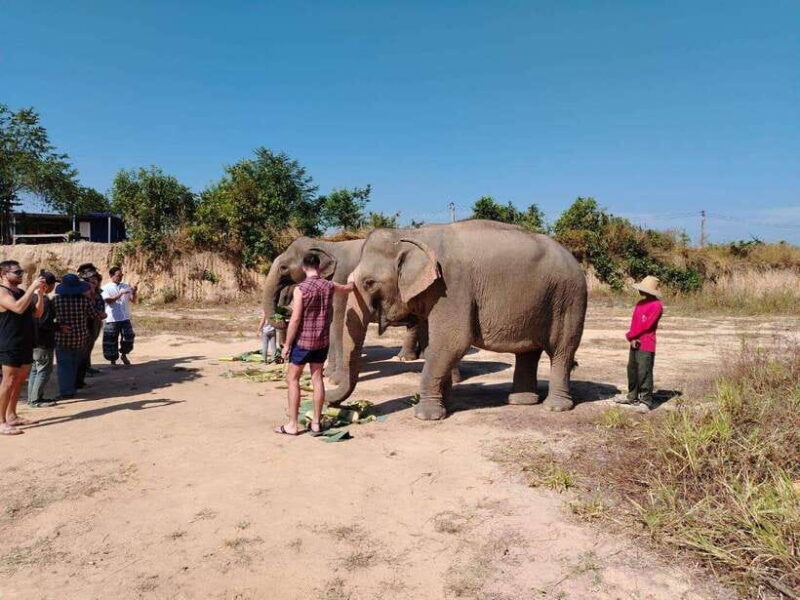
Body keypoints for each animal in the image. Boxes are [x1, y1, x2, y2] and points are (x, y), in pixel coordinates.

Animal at [262, 237, 426, 385]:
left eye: (283, 267)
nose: (282, 317)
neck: (326, 244)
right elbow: (331, 322)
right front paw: (328, 373)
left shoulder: (341, 276)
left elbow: (339, 320)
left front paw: (334, 379)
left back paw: (405, 358)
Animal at [325, 220, 587, 419]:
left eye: (369, 282)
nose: (330, 403)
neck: (414, 235)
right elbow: (438, 346)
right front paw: (447, 406)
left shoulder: (451, 286)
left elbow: (452, 342)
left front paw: (425, 415)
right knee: (528, 351)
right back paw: (521, 401)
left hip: (569, 299)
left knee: (562, 350)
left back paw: (555, 407)